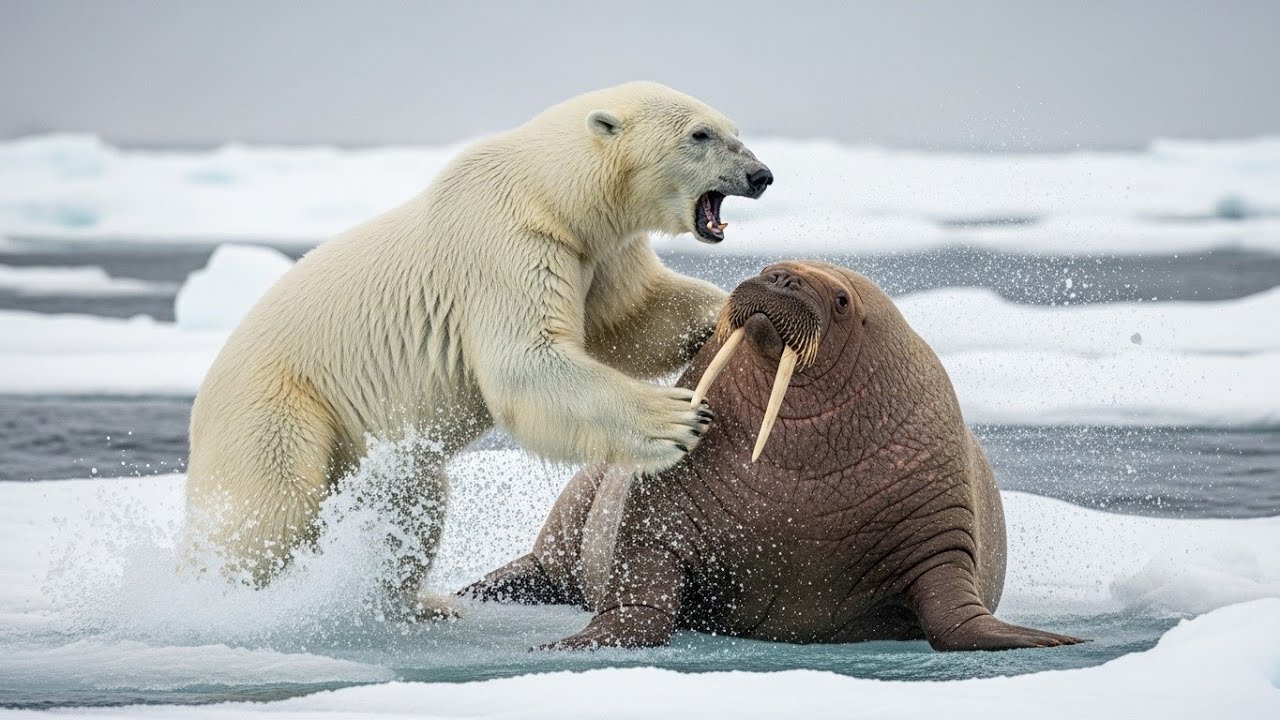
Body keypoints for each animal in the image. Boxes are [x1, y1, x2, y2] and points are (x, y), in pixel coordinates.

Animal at [185, 81, 773, 618]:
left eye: (734, 130)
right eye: (700, 135)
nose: (761, 176)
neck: (549, 193)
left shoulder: (594, 253)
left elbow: (632, 318)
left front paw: (728, 311)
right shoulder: (508, 245)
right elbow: (527, 360)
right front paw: (678, 419)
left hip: (369, 445)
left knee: (411, 494)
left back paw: (417, 600)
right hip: (280, 403)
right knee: (271, 507)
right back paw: (231, 597)